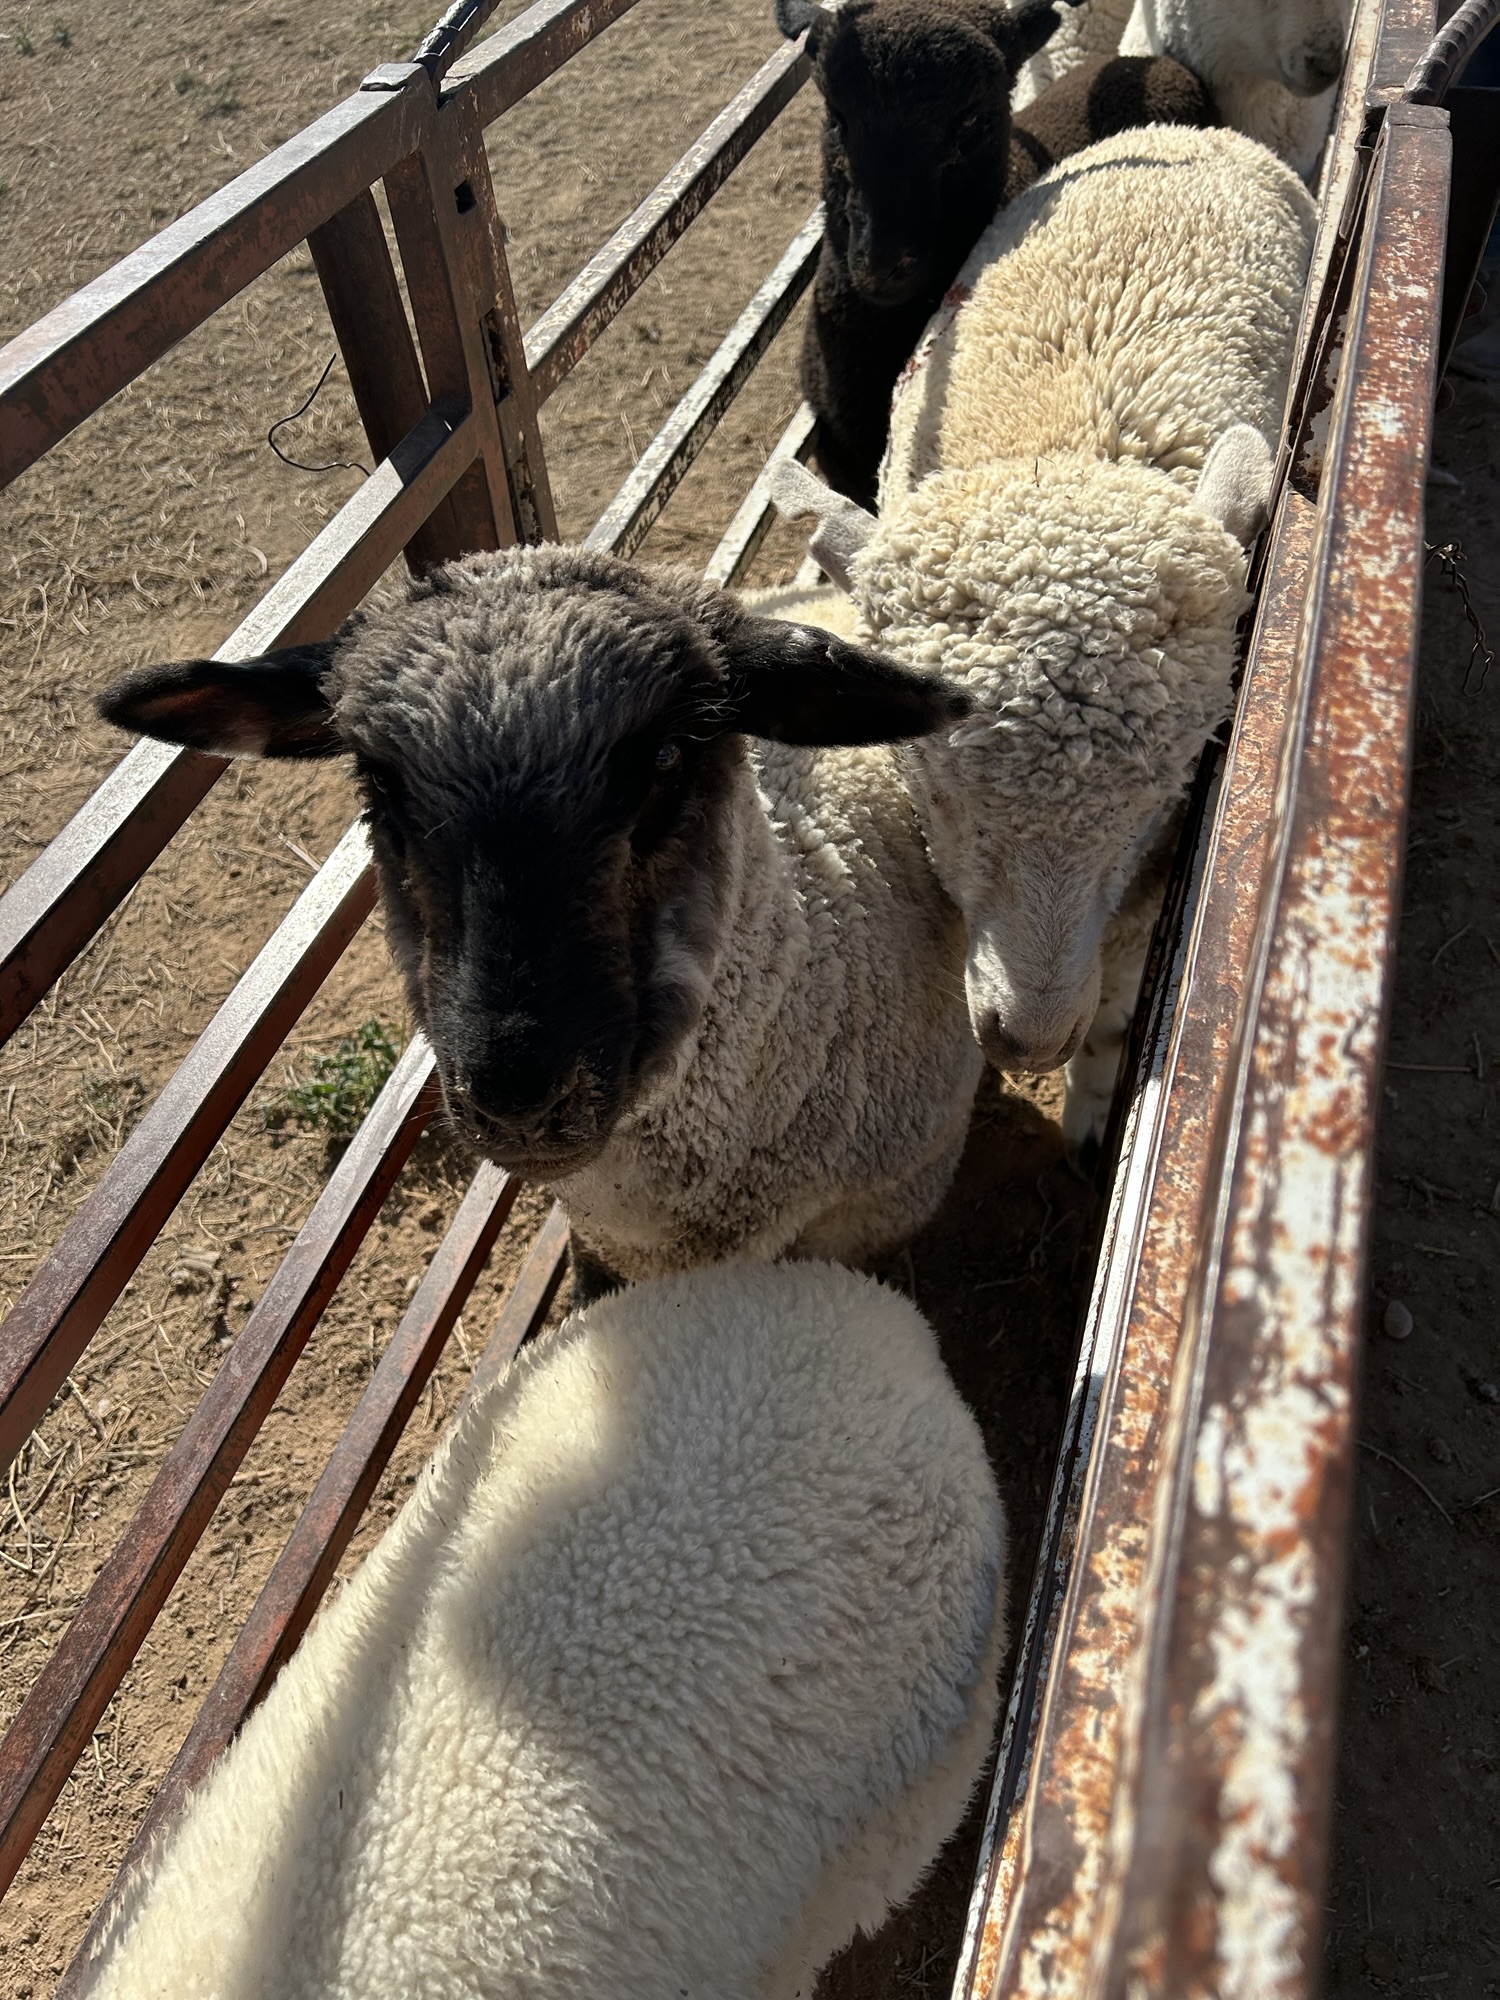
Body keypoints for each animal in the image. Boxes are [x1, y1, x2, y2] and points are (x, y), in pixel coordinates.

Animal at [771, 124, 1316, 1151]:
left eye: (1167, 792)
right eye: (929, 788)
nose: (1027, 1039)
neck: (1069, 444)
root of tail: (1188, 134)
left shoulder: (1150, 889)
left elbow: (1113, 1022)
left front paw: (1092, 1106)